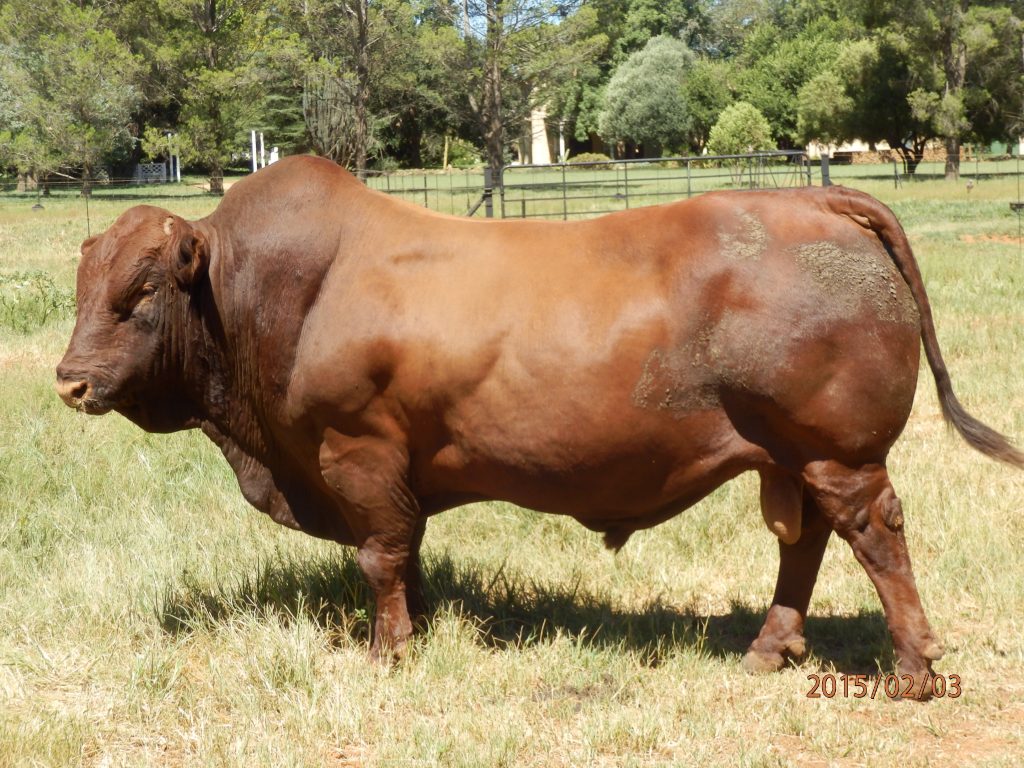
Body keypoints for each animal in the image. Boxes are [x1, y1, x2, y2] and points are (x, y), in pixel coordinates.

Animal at [56, 155, 1023, 697]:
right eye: (82, 287)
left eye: (140, 292)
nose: (70, 379)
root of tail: (817, 204)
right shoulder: (396, 472)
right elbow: (406, 552)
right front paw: (421, 626)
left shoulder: (356, 449)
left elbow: (378, 555)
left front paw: (386, 652)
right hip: (789, 457)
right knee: (806, 543)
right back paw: (768, 649)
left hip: (838, 452)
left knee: (876, 537)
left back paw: (913, 668)